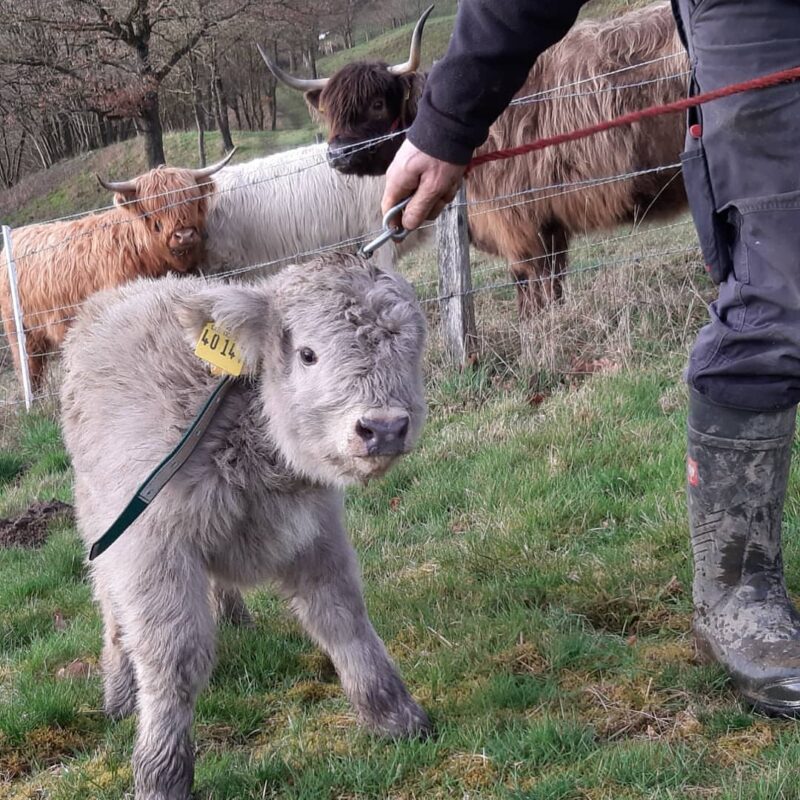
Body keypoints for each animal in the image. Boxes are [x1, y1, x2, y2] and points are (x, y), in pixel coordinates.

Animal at [0, 152, 233, 391]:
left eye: (191, 199)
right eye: (155, 209)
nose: (184, 235)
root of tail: (17, 235)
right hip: (21, 333)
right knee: (30, 370)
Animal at [60, 253, 430, 800]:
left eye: (413, 346)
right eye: (307, 354)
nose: (383, 427)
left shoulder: (318, 531)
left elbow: (343, 620)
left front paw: (394, 715)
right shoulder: (152, 547)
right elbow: (173, 658)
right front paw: (161, 774)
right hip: (99, 518)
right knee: (112, 608)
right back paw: (120, 691)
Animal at [264, 3, 690, 315]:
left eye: (376, 103)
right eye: (329, 112)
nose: (338, 155)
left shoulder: (518, 223)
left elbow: (532, 288)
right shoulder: (547, 225)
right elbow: (552, 283)